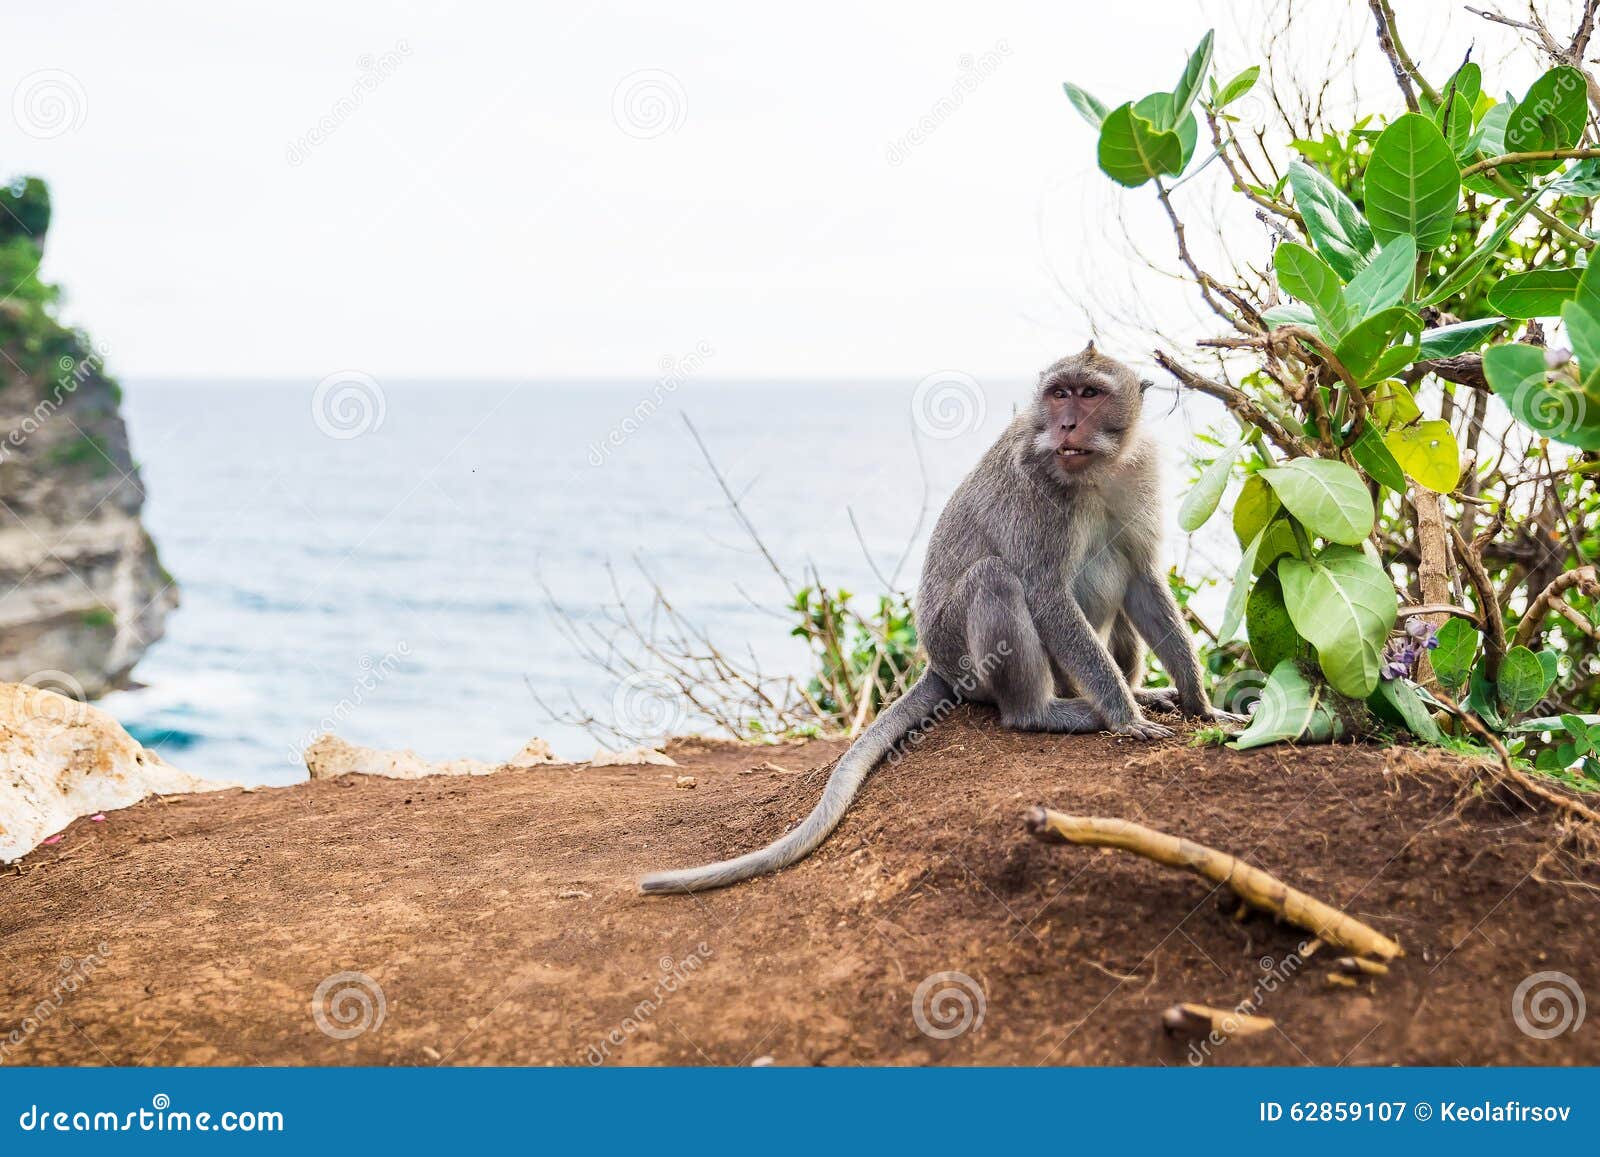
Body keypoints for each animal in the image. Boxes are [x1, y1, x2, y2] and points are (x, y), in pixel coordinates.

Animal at [638, 343, 1240, 895]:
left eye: (1089, 393)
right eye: (1059, 393)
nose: (1067, 423)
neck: (1096, 469)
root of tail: (937, 666)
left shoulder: (1139, 472)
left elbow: (1142, 580)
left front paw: (1198, 702)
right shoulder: (1034, 492)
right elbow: (1046, 593)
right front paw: (1122, 715)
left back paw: (1136, 692)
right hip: (966, 655)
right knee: (994, 580)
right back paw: (1044, 712)